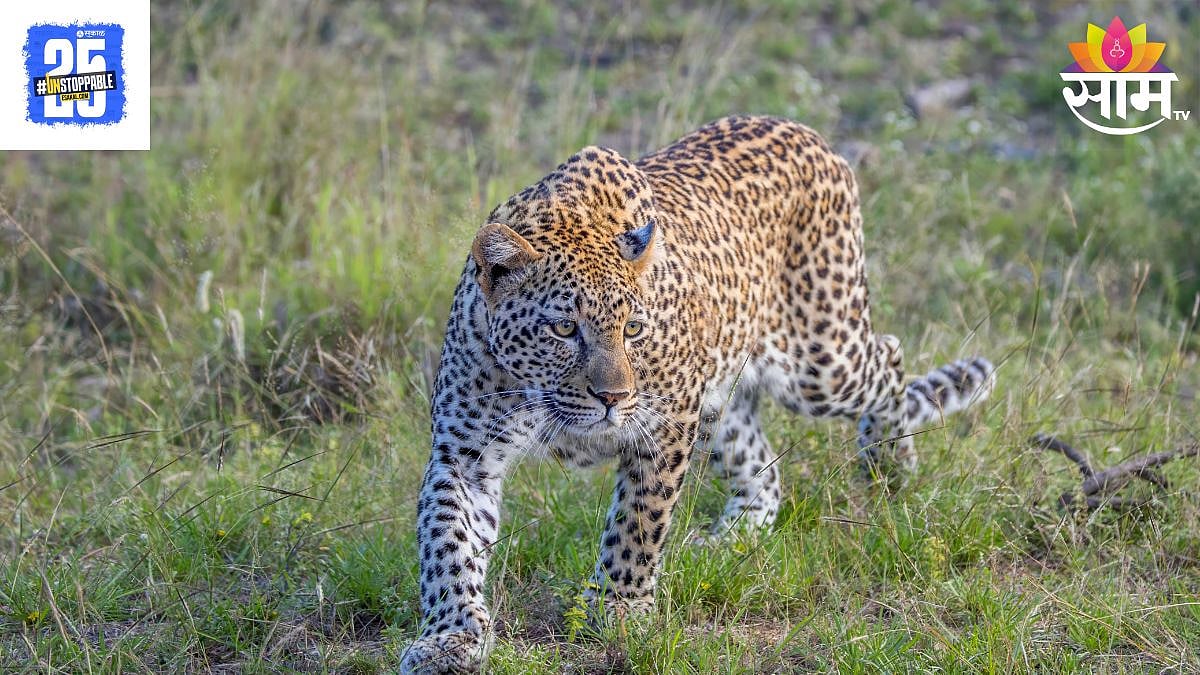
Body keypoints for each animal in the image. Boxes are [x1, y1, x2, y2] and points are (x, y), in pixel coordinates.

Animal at [401, 115, 995, 673]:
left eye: (633, 329)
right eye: (564, 329)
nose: (613, 397)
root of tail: (808, 133)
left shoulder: (664, 425)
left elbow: (638, 522)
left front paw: (618, 609)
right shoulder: (464, 454)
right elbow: (448, 545)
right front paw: (450, 638)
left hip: (821, 361)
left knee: (888, 354)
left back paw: (890, 463)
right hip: (724, 398)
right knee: (764, 474)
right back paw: (728, 540)